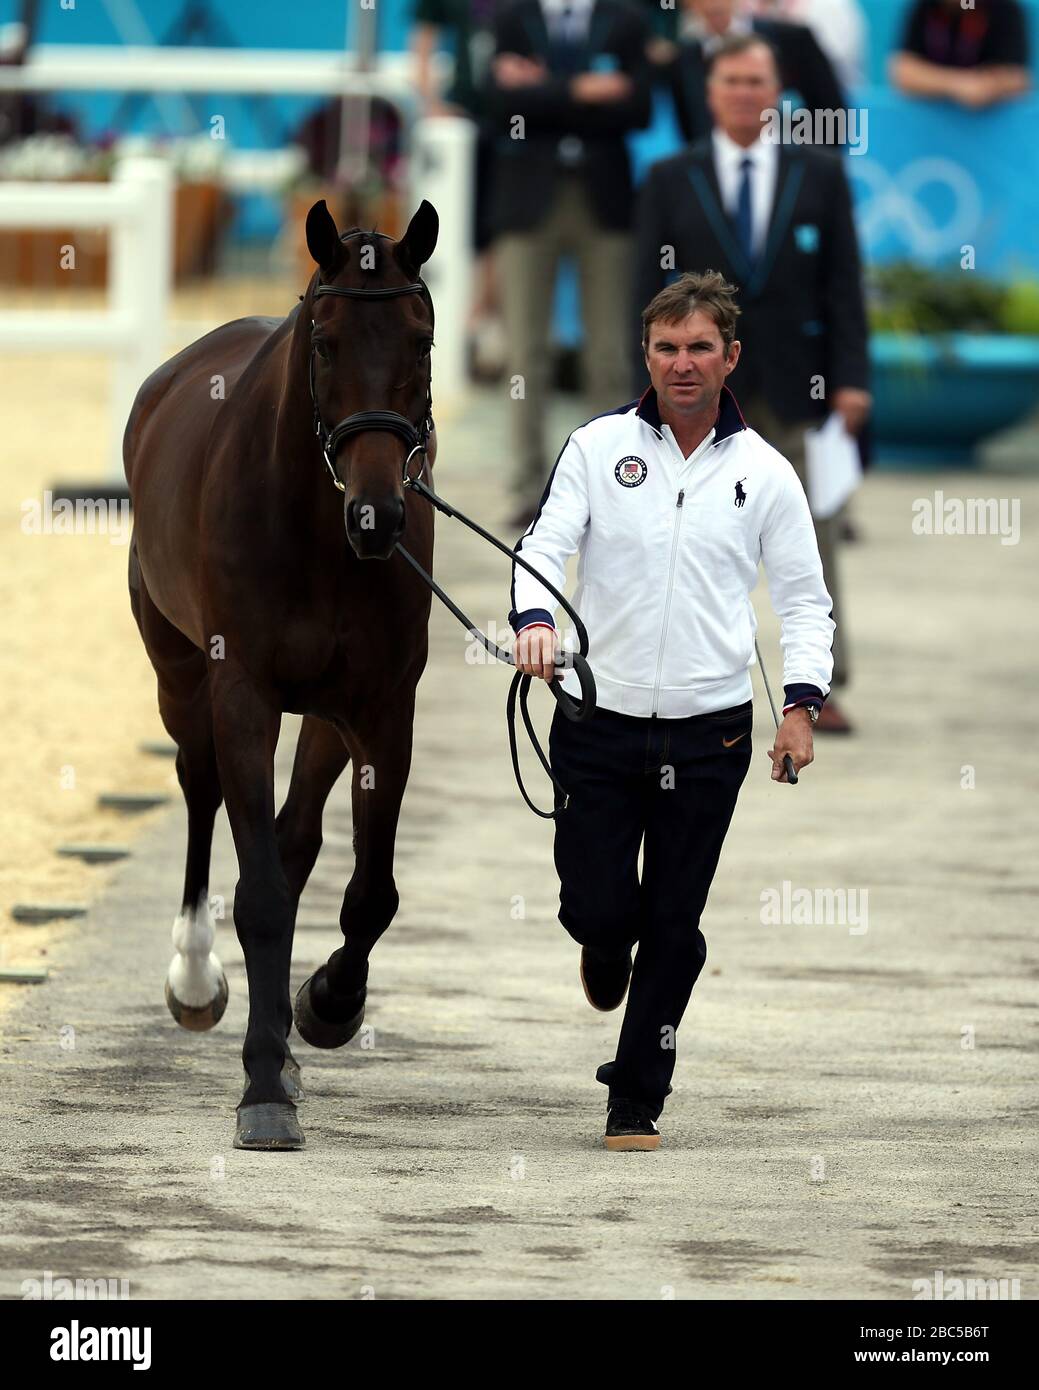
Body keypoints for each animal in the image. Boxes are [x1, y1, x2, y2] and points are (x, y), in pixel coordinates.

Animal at [124, 199, 439, 1151]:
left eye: (420, 340)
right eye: (326, 342)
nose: (377, 516)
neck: (316, 531)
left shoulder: (380, 708)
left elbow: (366, 892)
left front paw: (326, 1005)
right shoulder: (244, 697)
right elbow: (259, 891)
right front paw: (263, 1085)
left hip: (327, 717)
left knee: (296, 836)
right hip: (179, 673)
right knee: (199, 788)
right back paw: (196, 979)